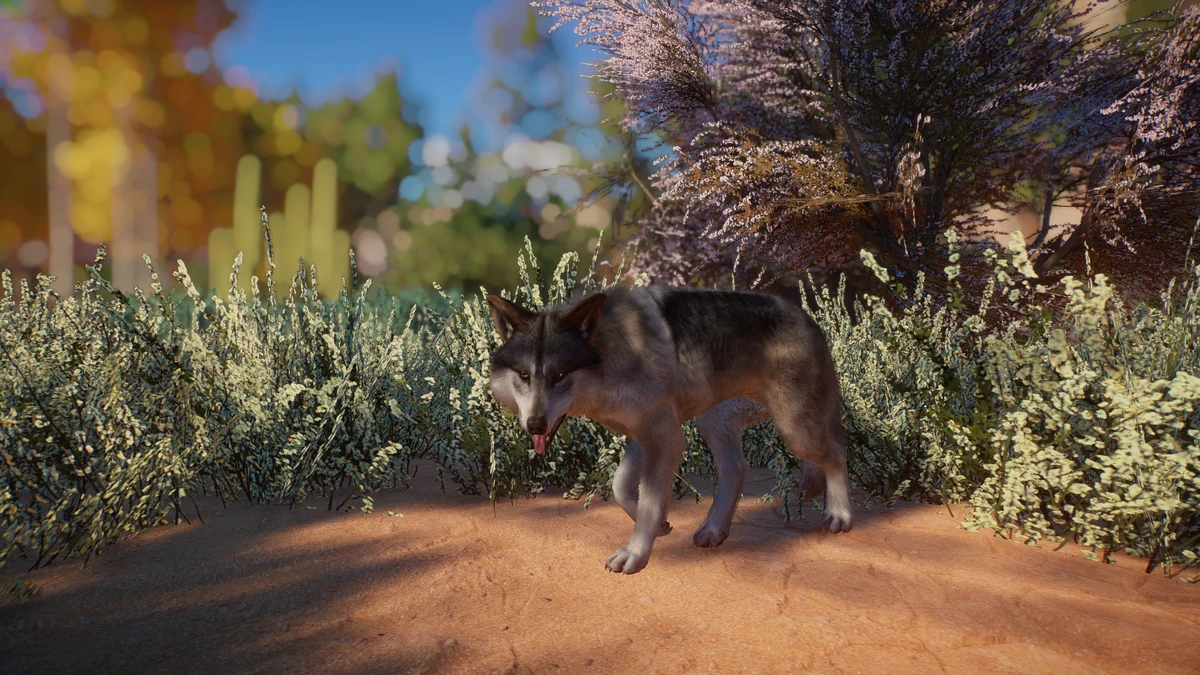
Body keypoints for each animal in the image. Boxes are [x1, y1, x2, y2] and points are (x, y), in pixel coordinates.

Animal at [484, 286, 851, 575]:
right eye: (524, 375)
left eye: (559, 375)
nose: (535, 424)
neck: (610, 353)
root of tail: (805, 315)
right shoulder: (649, 434)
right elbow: (621, 487)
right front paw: (661, 525)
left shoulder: (664, 436)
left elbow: (646, 499)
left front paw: (635, 555)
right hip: (714, 421)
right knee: (737, 468)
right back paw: (713, 530)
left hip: (794, 430)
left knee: (837, 452)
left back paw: (839, 516)